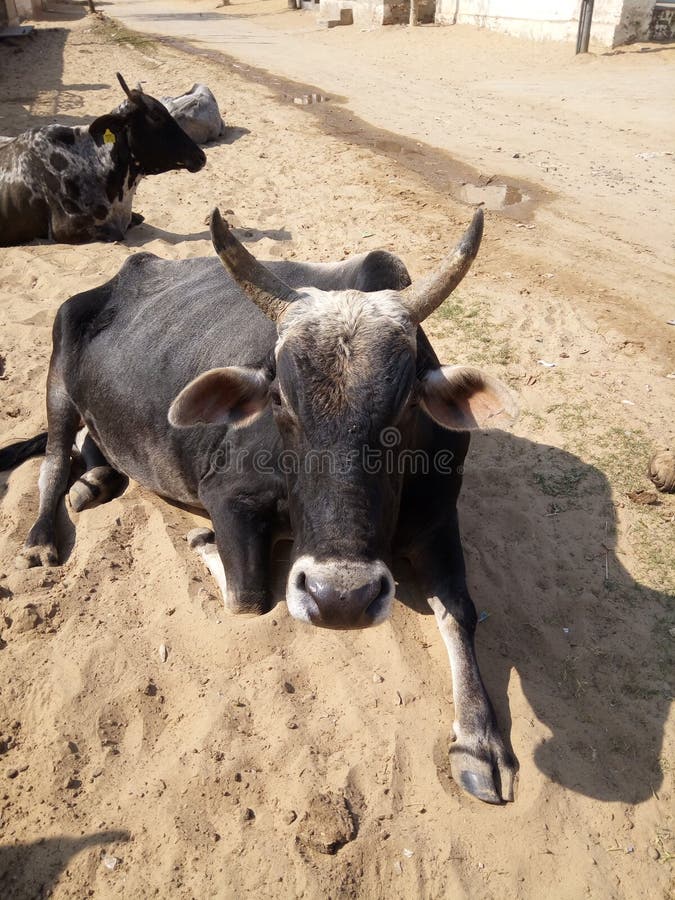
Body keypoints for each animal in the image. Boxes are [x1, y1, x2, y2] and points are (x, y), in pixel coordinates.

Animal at [0, 208, 519, 804]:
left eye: (407, 404)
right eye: (280, 401)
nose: (341, 598)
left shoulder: (438, 519)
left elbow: (460, 611)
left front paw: (480, 740)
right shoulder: (229, 498)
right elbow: (248, 597)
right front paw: (206, 541)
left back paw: (97, 478)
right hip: (58, 378)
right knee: (53, 458)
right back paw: (43, 534)